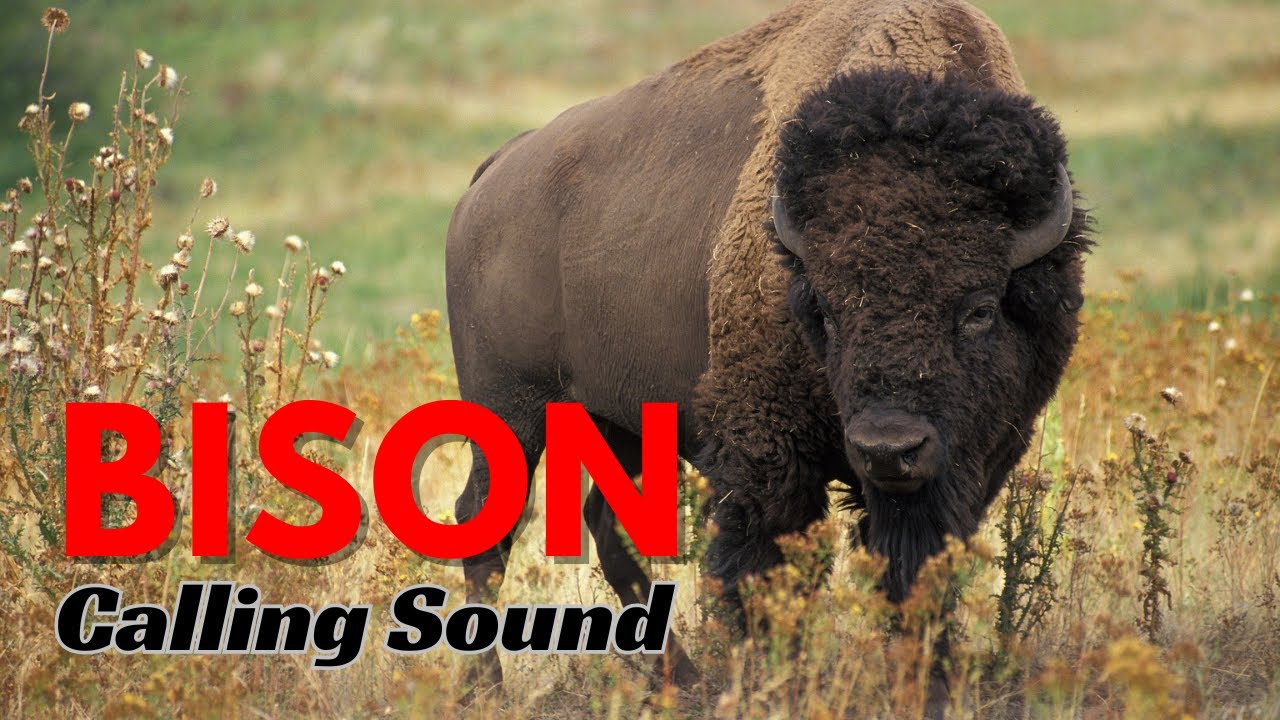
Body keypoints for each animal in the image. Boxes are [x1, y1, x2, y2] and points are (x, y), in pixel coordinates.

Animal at [445, 0, 1090, 687]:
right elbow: (766, 568)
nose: (888, 449)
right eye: (825, 311)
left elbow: (919, 567)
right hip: (510, 410)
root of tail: (492, 176)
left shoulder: (977, 459)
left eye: (980, 309)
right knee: (484, 522)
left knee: (604, 523)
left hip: (621, 425)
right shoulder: (767, 453)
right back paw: (485, 687)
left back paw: (681, 676)